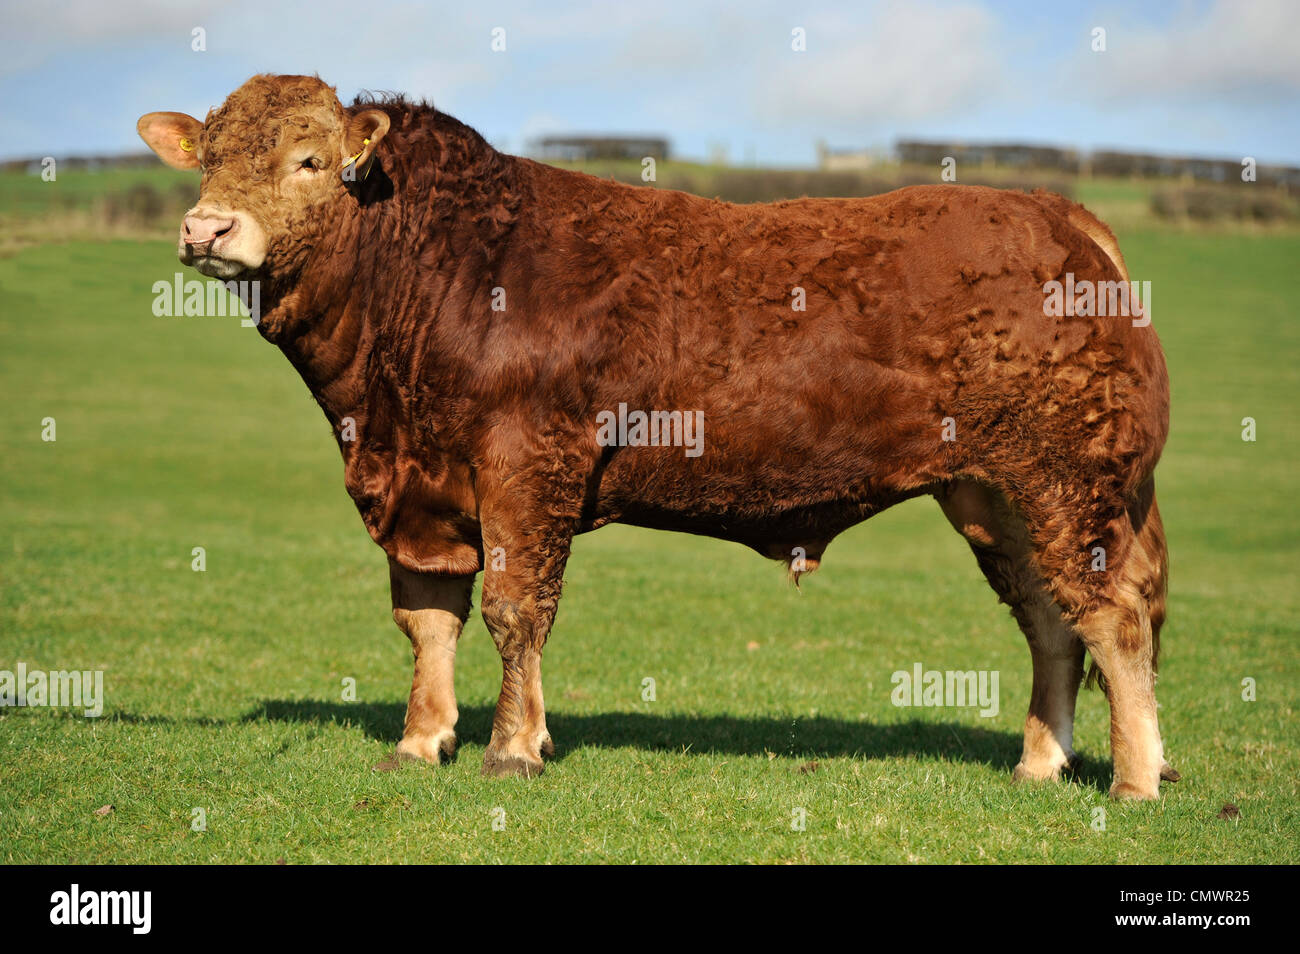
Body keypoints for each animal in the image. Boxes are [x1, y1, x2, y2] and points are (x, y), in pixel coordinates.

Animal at [137, 74, 1176, 797]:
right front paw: (422, 739)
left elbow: (516, 609)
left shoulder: (527, 466)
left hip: (1067, 480)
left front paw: (513, 749)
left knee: (1114, 617)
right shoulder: (419, 491)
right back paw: (1040, 764)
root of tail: (1054, 211)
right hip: (995, 492)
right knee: (1051, 619)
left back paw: (1132, 780)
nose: (206, 227)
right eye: (206, 159)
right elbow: (427, 616)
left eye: (309, 160)